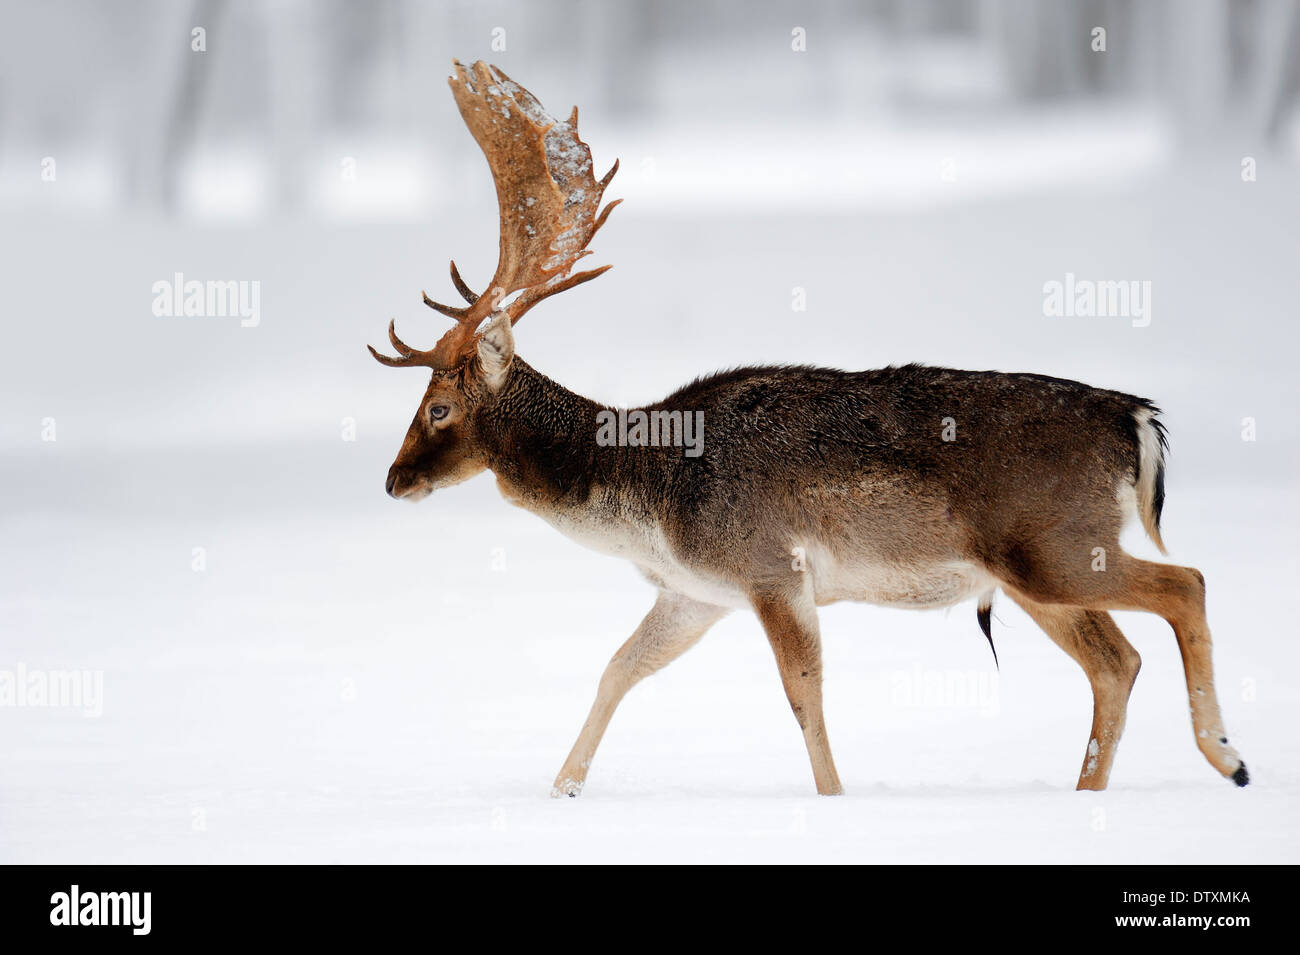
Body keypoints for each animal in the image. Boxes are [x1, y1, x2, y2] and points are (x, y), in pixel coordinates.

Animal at [370, 61, 1248, 797]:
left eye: (438, 407)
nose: (392, 479)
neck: (646, 497)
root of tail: (1135, 417)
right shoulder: (695, 593)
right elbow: (617, 669)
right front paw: (561, 790)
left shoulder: (770, 566)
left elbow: (802, 692)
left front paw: (833, 799)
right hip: (1034, 571)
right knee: (1117, 660)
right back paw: (1095, 788)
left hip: (1054, 544)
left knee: (1186, 584)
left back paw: (1227, 756)